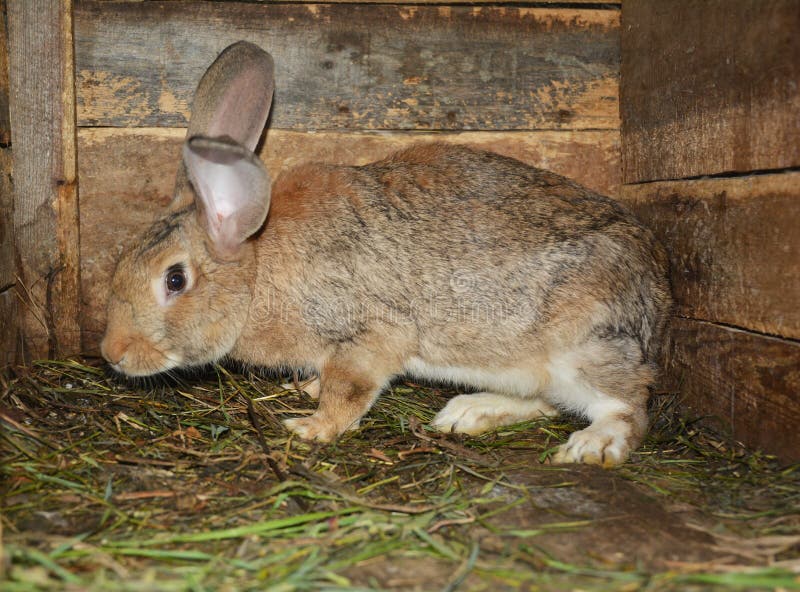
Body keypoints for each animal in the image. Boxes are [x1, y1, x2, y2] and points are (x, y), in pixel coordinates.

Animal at [100, 41, 672, 467]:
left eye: (175, 280)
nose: (112, 353)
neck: (259, 269)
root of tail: (660, 297)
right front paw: (308, 390)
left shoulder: (370, 334)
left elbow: (351, 387)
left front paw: (312, 427)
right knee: (545, 401)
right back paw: (466, 414)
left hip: (583, 346)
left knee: (630, 405)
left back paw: (592, 445)